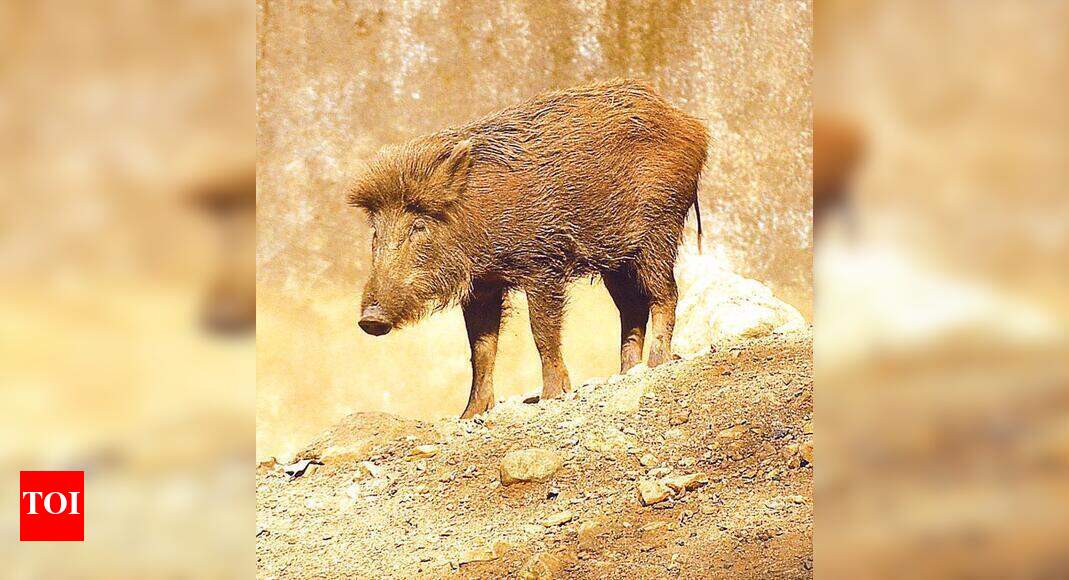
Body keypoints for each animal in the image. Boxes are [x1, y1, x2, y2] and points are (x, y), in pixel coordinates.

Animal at [347, 79, 708, 419]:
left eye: (418, 225)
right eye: (375, 231)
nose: (370, 320)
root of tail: (693, 126)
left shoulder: (543, 263)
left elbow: (542, 331)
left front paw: (551, 395)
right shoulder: (483, 286)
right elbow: (481, 349)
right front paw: (470, 415)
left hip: (659, 229)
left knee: (666, 294)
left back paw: (657, 363)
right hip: (616, 260)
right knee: (632, 308)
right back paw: (624, 372)